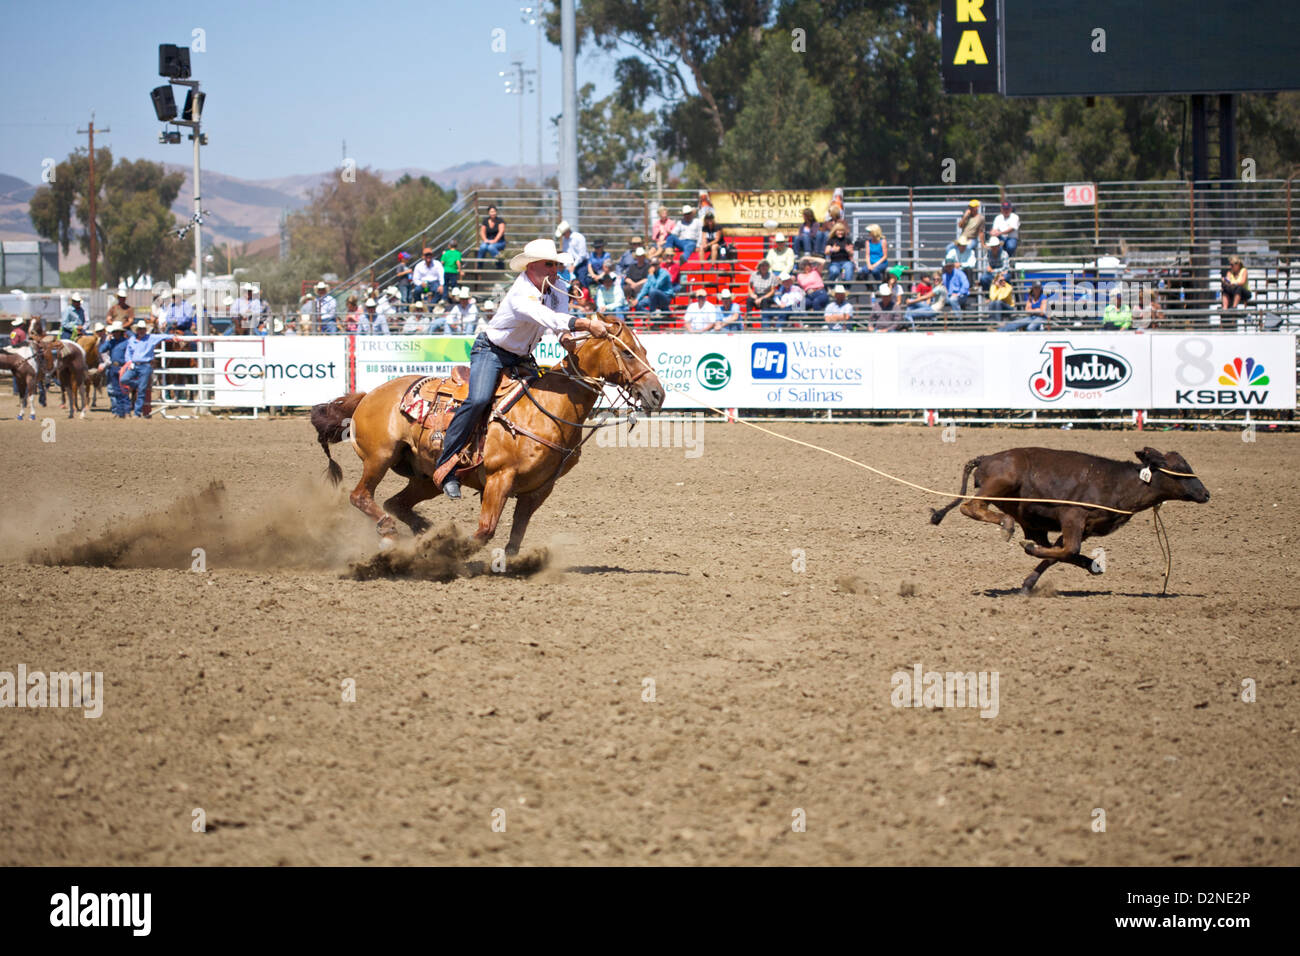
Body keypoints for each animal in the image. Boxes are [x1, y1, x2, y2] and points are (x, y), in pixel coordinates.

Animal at [929, 446, 1210, 593]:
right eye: (1181, 470)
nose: (1206, 494)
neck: (1120, 483)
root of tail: (986, 459)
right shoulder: (1072, 515)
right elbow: (1068, 550)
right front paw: (1030, 550)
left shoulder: (1083, 527)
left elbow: (1060, 554)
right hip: (1001, 482)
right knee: (970, 506)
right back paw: (1006, 524)